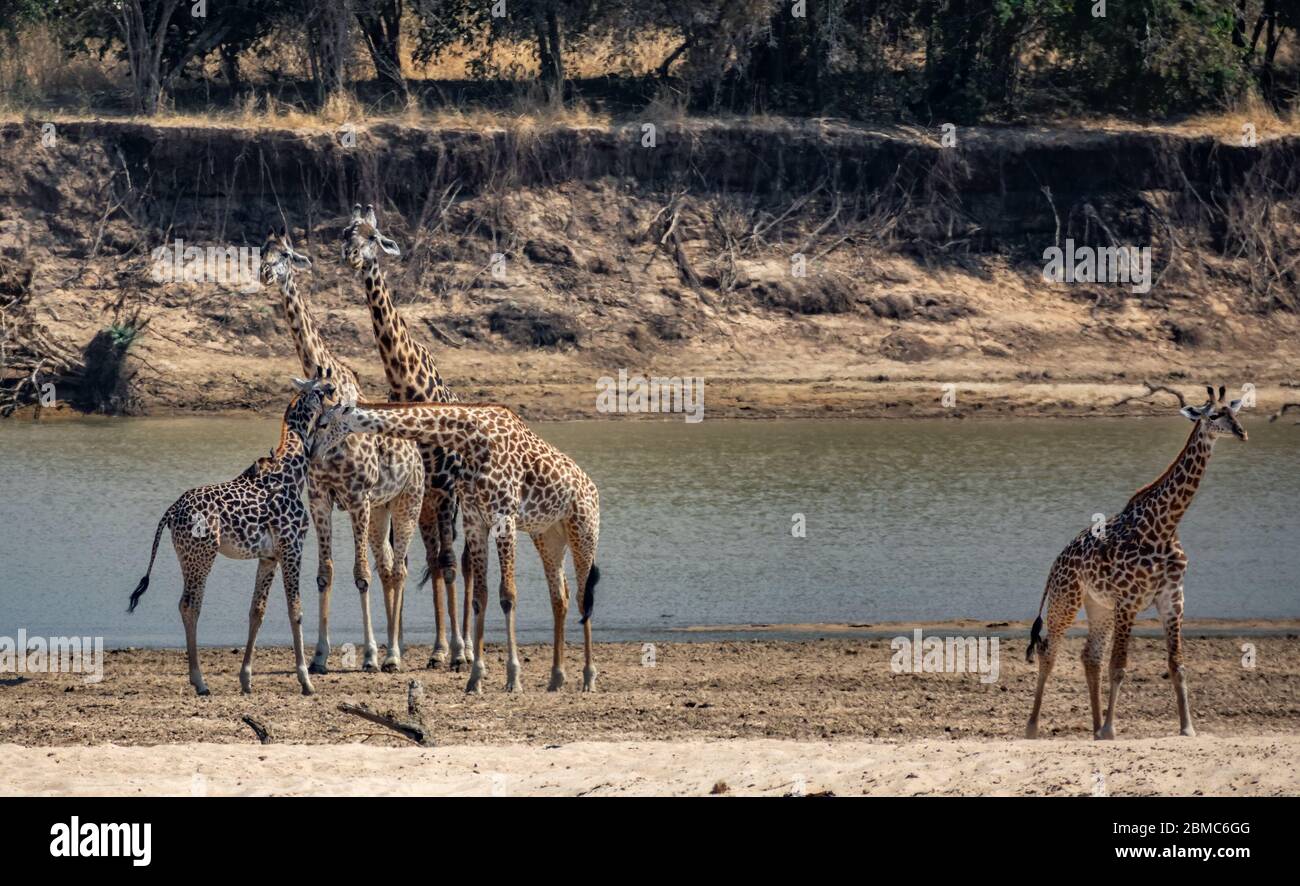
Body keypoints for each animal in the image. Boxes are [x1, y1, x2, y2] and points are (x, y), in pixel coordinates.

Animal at [126, 378, 333, 696]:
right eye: (321, 391)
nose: (335, 394)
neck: (292, 473)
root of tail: (171, 512)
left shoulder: (268, 556)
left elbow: (256, 611)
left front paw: (246, 679)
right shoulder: (292, 547)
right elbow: (295, 609)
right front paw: (306, 680)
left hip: (190, 557)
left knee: (189, 605)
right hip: (201, 556)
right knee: (189, 605)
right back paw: (200, 682)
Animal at [259, 231, 425, 674]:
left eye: (285, 254)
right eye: (262, 251)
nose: (265, 273)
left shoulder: (356, 497)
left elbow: (360, 574)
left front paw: (368, 655)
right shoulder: (320, 497)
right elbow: (327, 572)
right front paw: (318, 656)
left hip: (406, 502)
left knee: (399, 568)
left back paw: (393, 654)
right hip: (381, 509)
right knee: (389, 565)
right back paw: (392, 647)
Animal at [314, 399, 602, 693]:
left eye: (323, 424)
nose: (313, 454)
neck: (471, 439)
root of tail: (591, 488)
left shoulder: (504, 517)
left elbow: (508, 595)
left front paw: (513, 678)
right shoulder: (475, 519)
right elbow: (480, 597)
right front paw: (475, 678)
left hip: (584, 531)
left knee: (582, 597)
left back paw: (589, 678)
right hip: (547, 536)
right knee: (560, 597)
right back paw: (556, 679)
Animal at [340, 204, 469, 670]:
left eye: (374, 237)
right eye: (345, 233)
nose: (351, 258)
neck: (409, 386)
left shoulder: (444, 489)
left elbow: (447, 564)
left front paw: (459, 653)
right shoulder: (417, 492)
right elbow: (408, 562)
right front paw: (424, 650)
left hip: (456, 503)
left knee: (459, 560)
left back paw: (461, 647)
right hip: (426, 506)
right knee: (426, 558)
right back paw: (436, 648)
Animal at [1025, 385, 1248, 740]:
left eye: (1236, 413)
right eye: (1214, 415)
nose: (1241, 433)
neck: (1163, 527)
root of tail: (1056, 562)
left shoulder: (1173, 600)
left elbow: (1177, 665)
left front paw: (1187, 728)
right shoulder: (1129, 601)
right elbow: (1119, 666)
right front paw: (1110, 730)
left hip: (1098, 606)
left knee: (1090, 655)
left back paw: (1093, 728)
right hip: (1066, 599)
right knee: (1049, 650)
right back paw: (1034, 728)